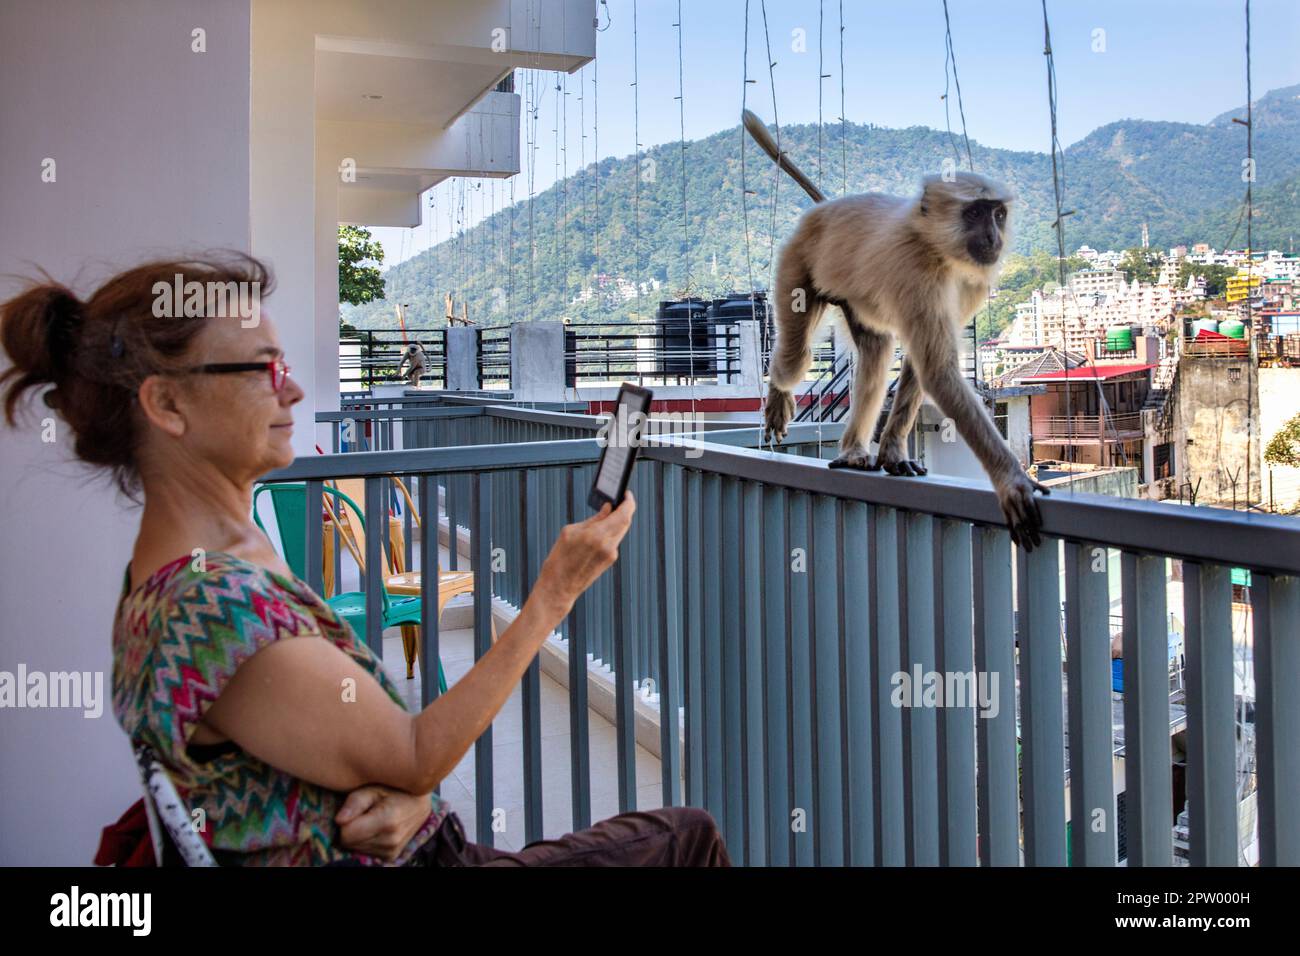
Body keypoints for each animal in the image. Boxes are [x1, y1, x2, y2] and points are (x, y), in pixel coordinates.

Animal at [742, 109, 1049, 551]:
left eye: (998, 213)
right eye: (974, 213)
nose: (993, 236)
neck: (934, 244)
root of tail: (825, 210)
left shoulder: (971, 283)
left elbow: (918, 365)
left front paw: (892, 455)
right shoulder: (918, 271)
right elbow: (937, 369)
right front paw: (1011, 481)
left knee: (875, 351)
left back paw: (853, 451)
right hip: (795, 261)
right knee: (796, 356)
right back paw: (779, 393)